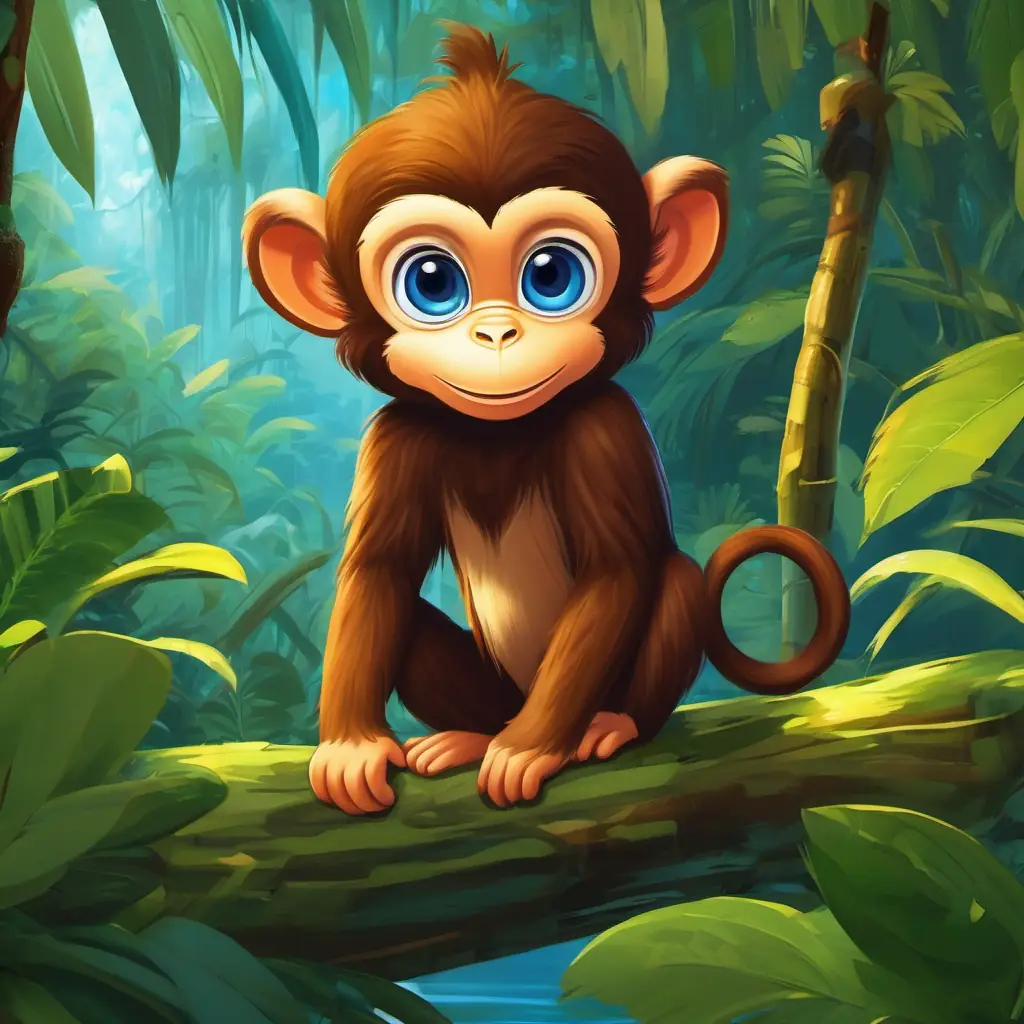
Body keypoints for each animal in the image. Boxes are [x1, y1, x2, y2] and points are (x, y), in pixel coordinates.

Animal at [241, 23, 851, 816]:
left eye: (550, 275)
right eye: (432, 282)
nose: (497, 334)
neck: (500, 433)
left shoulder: (606, 424)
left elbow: (617, 573)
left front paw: (530, 750)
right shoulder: (394, 435)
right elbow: (378, 574)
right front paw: (349, 746)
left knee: (675, 581)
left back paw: (608, 724)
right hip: (489, 687)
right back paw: (469, 736)